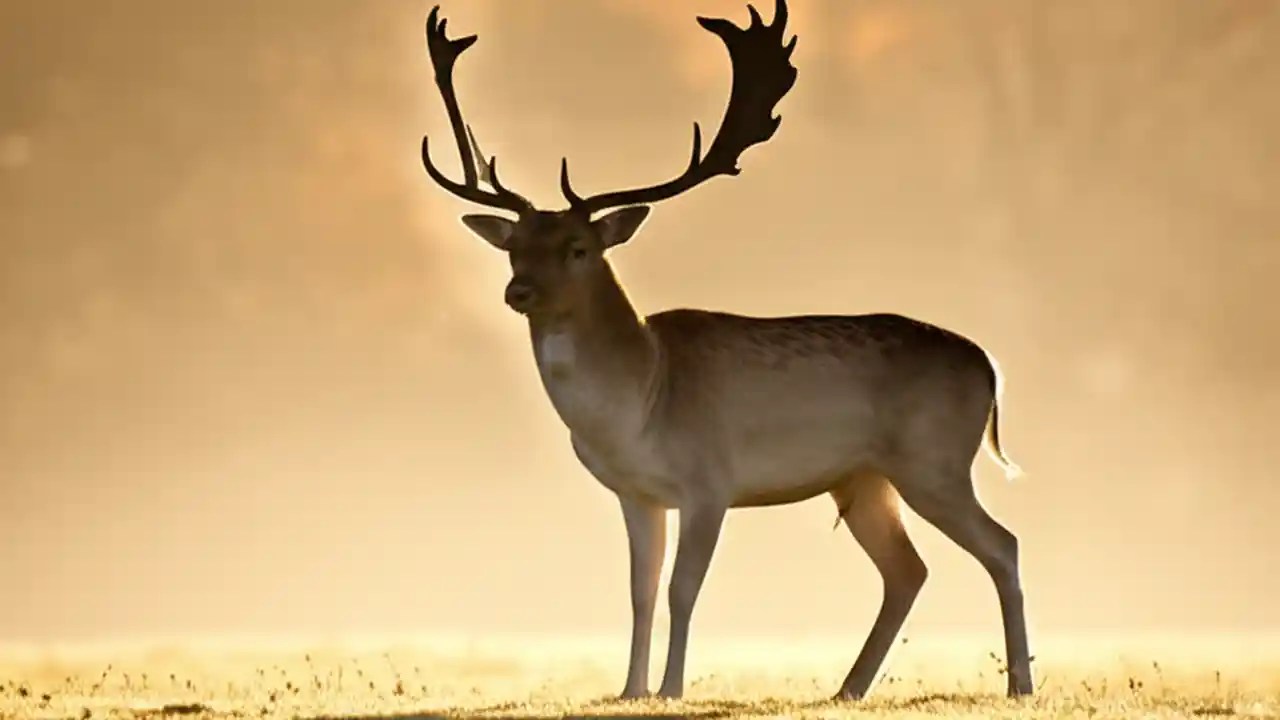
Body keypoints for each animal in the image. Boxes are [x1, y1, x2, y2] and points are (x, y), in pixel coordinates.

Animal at [416, 0, 1034, 702]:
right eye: (514, 247)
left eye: (579, 247)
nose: (518, 290)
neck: (640, 399)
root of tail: (990, 366)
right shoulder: (636, 493)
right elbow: (639, 592)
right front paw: (630, 689)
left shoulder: (709, 479)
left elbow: (683, 590)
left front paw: (670, 688)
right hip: (865, 478)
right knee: (908, 570)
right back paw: (847, 688)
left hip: (934, 461)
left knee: (1004, 545)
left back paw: (1019, 684)